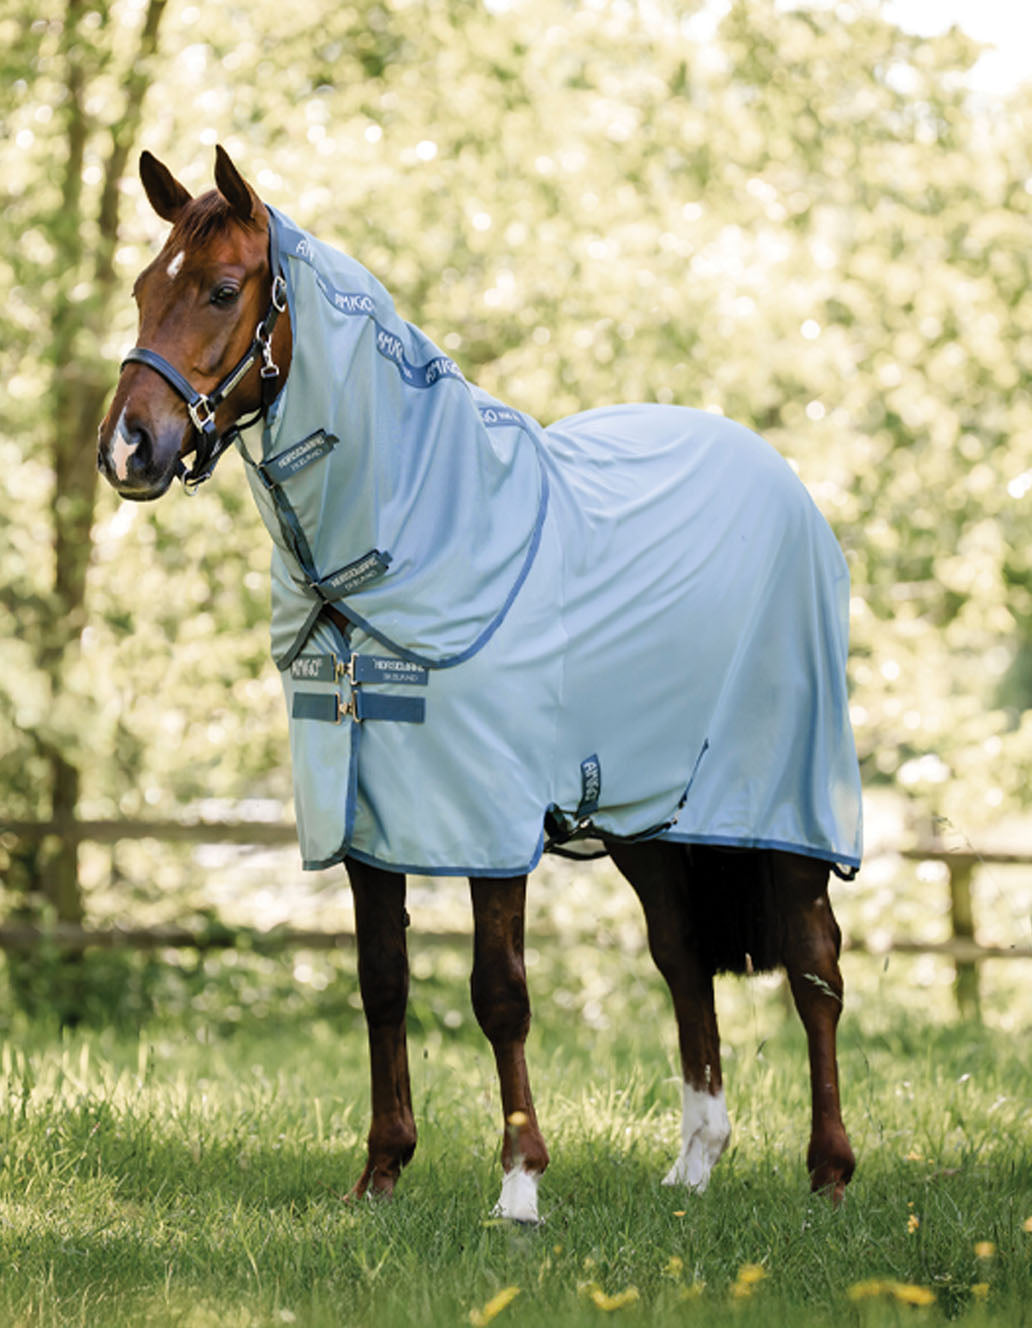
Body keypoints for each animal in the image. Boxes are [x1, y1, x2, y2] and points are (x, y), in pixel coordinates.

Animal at [97, 147, 861, 1219]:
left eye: (220, 289)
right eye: (139, 289)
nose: (128, 449)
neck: (423, 532)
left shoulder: (490, 820)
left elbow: (499, 992)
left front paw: (520, 1186)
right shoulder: (363, 817)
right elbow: (382, 980)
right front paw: (380, 1173)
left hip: (784, 802)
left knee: (814, 964)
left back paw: (829, 1171)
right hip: (647, 815)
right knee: (681, 958)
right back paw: (695, 1164)